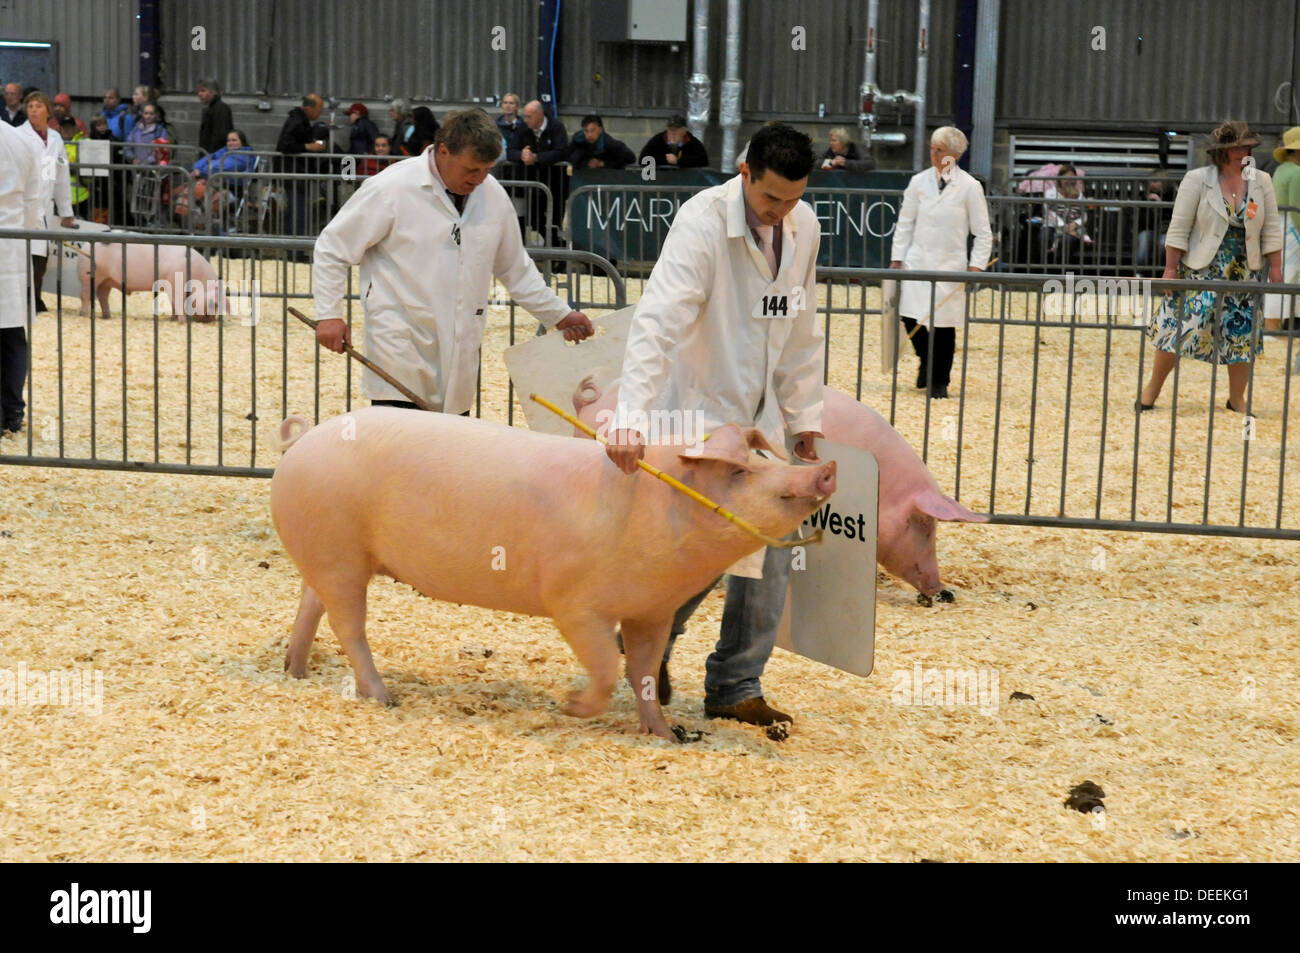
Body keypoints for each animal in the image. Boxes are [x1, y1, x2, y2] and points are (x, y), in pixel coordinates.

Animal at [77, 242, 226, 322]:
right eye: (214, 303)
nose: (211, 319)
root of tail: (84, 246)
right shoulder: (174, 282)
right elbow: (178, 301)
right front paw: (182, 321)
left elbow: (173, 303)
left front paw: (173, 318)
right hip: (88, 276)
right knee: (85, 295)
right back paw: (84, 314)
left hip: (106, 280)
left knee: (102, 296)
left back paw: (107, 316)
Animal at [270, 407, 836, 740]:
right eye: (739, 471)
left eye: (765, 455)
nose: (824, 469)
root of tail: (301, 442)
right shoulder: (573, 603)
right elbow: (607, 665)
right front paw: (569, 706)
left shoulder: (653, 610)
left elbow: (643, 671)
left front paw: (664, 733)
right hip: (341, 554)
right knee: (348, 625)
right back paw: (384, 696)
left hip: (328, 555)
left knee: (310, 605)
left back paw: (295, 671)